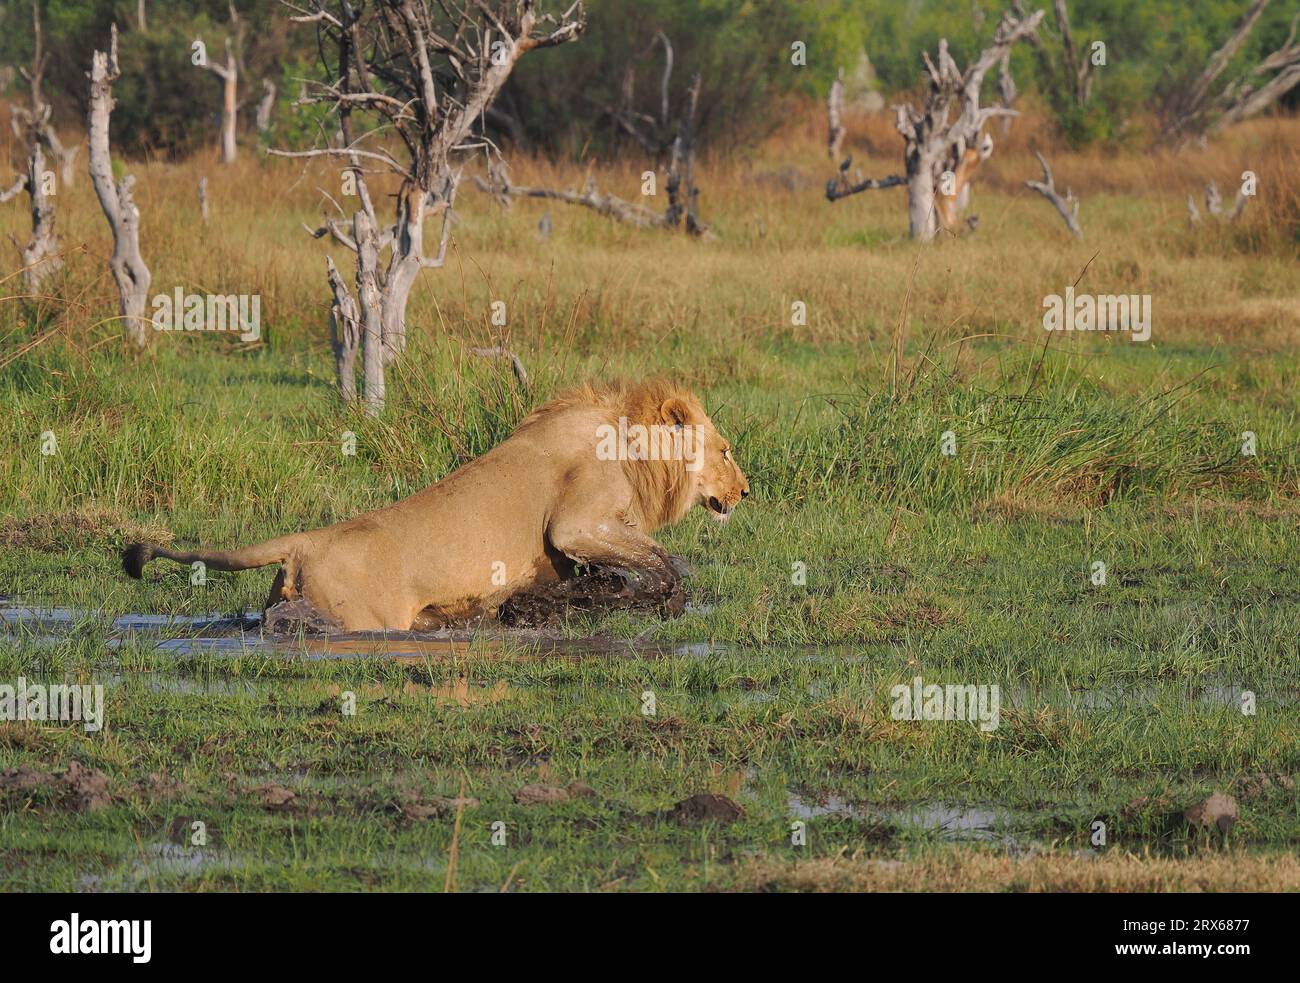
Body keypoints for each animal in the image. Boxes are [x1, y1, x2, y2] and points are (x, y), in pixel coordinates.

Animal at [123, 379, 749, 632]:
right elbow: (661, 562)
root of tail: (305, 540)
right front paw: (661, 599)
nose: (745, 492)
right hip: (361, 616)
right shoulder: (577, 523)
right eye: (724, 450)